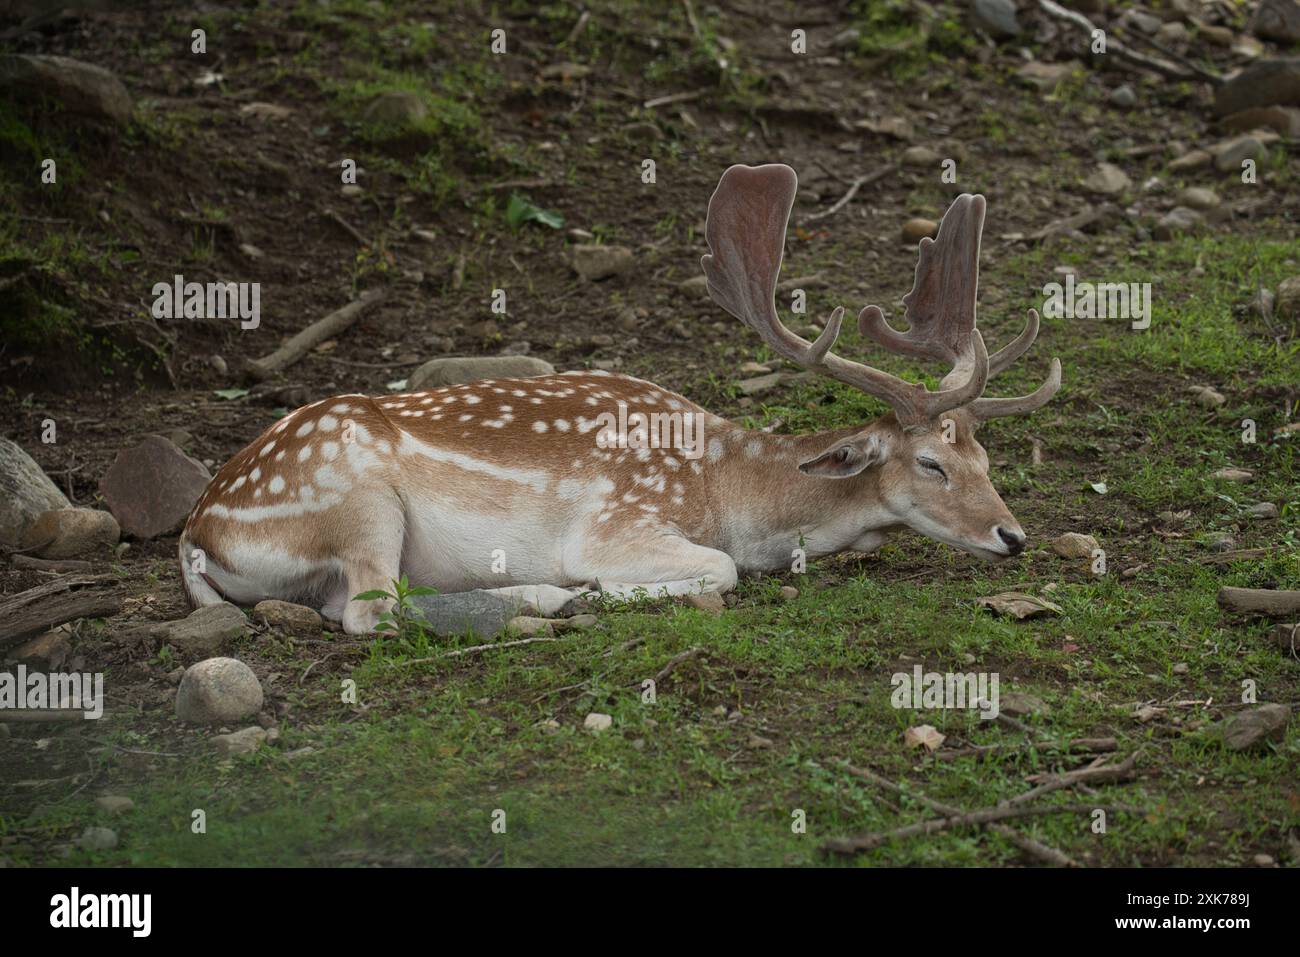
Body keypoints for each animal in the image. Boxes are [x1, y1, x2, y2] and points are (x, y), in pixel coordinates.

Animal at [179, 163, 1061, 634]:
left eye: (985, 456)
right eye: (932, 463)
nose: (1014, 535)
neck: (728, 489)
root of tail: (198, 531)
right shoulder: (620, 522)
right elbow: (719, 570)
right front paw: (607, 589)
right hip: (357, 496)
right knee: (369, 608)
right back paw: (554, 598)